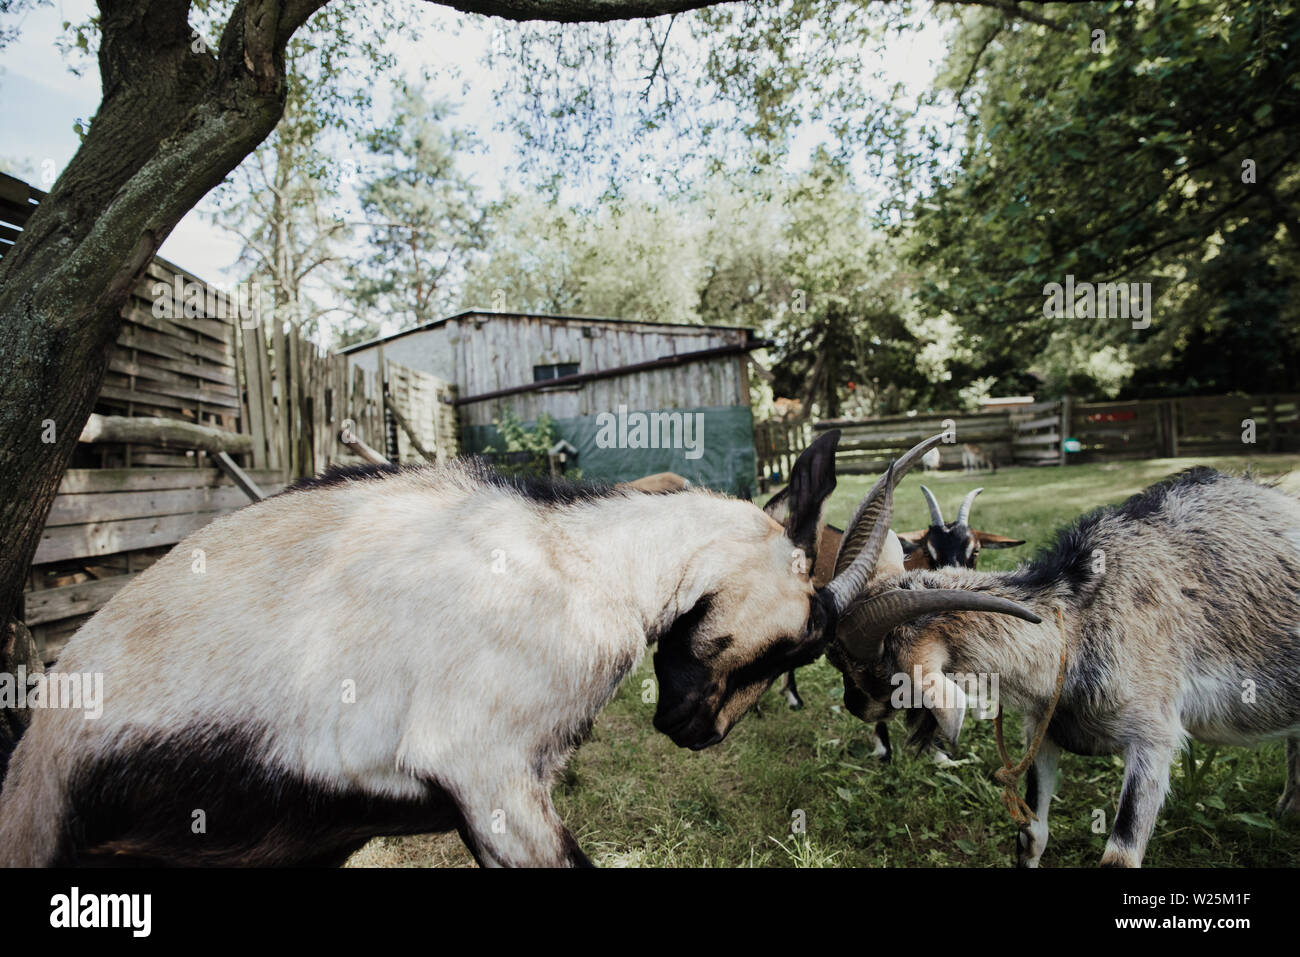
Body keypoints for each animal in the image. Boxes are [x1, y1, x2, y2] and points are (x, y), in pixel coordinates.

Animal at [825, 460, 1300, 867]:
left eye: (874, 673)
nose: (853, 705)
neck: (1080, 616)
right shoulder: (1043, 728)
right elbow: (1031, 835)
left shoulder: (1154, 738)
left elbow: (1119, 856)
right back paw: (1285, 809)